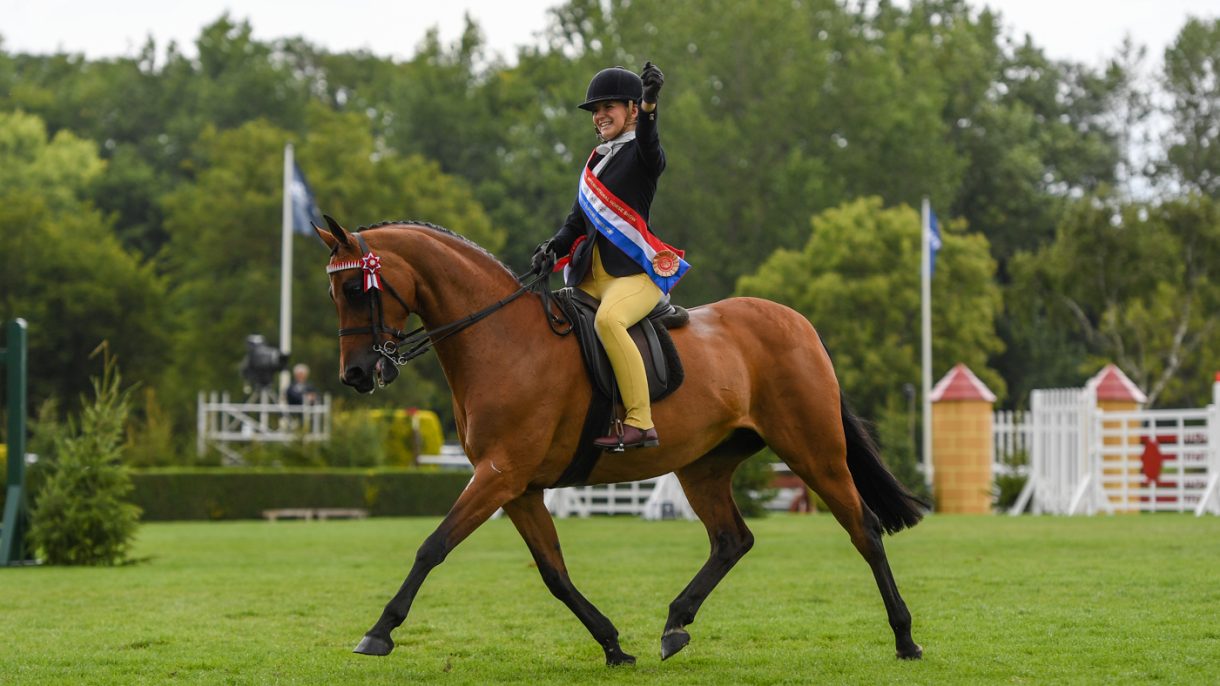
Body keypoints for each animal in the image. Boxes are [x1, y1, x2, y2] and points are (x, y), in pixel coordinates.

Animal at [316, 216, 926, 665]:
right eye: (335, 291)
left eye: (355, 288)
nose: (356, 374)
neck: (501, 340)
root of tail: (799, 325)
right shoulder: (518, 487)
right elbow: (554, 573)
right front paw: (612, 644)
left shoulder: (499, 475)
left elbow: (432, 546)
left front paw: (379, 631)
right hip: (703, 467)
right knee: (732, 540)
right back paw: (675, 624)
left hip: (813, 450)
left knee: (864, 529)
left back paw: (905, 638)